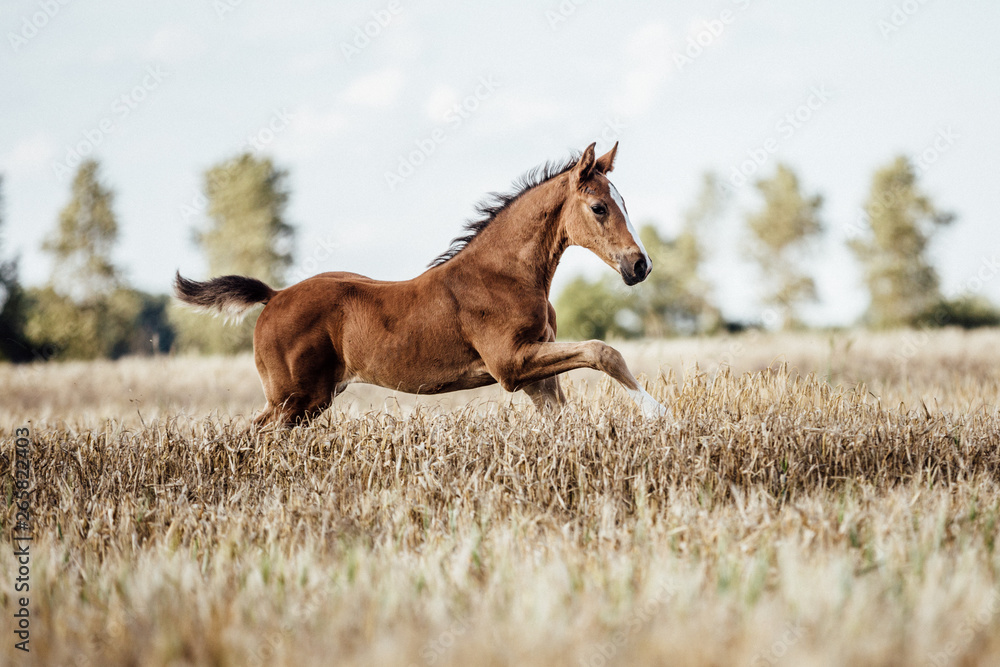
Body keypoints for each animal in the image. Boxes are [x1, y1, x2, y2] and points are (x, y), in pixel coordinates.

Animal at [174, 141, 668, 427]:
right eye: (600, 207)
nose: (639, 265)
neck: (503, 275)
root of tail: (274, 297)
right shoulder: (510, 364)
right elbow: (603, 351)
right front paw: (659, 412)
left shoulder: (533, 372)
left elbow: (563, 416)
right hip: (292, 399)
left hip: (310, 401)